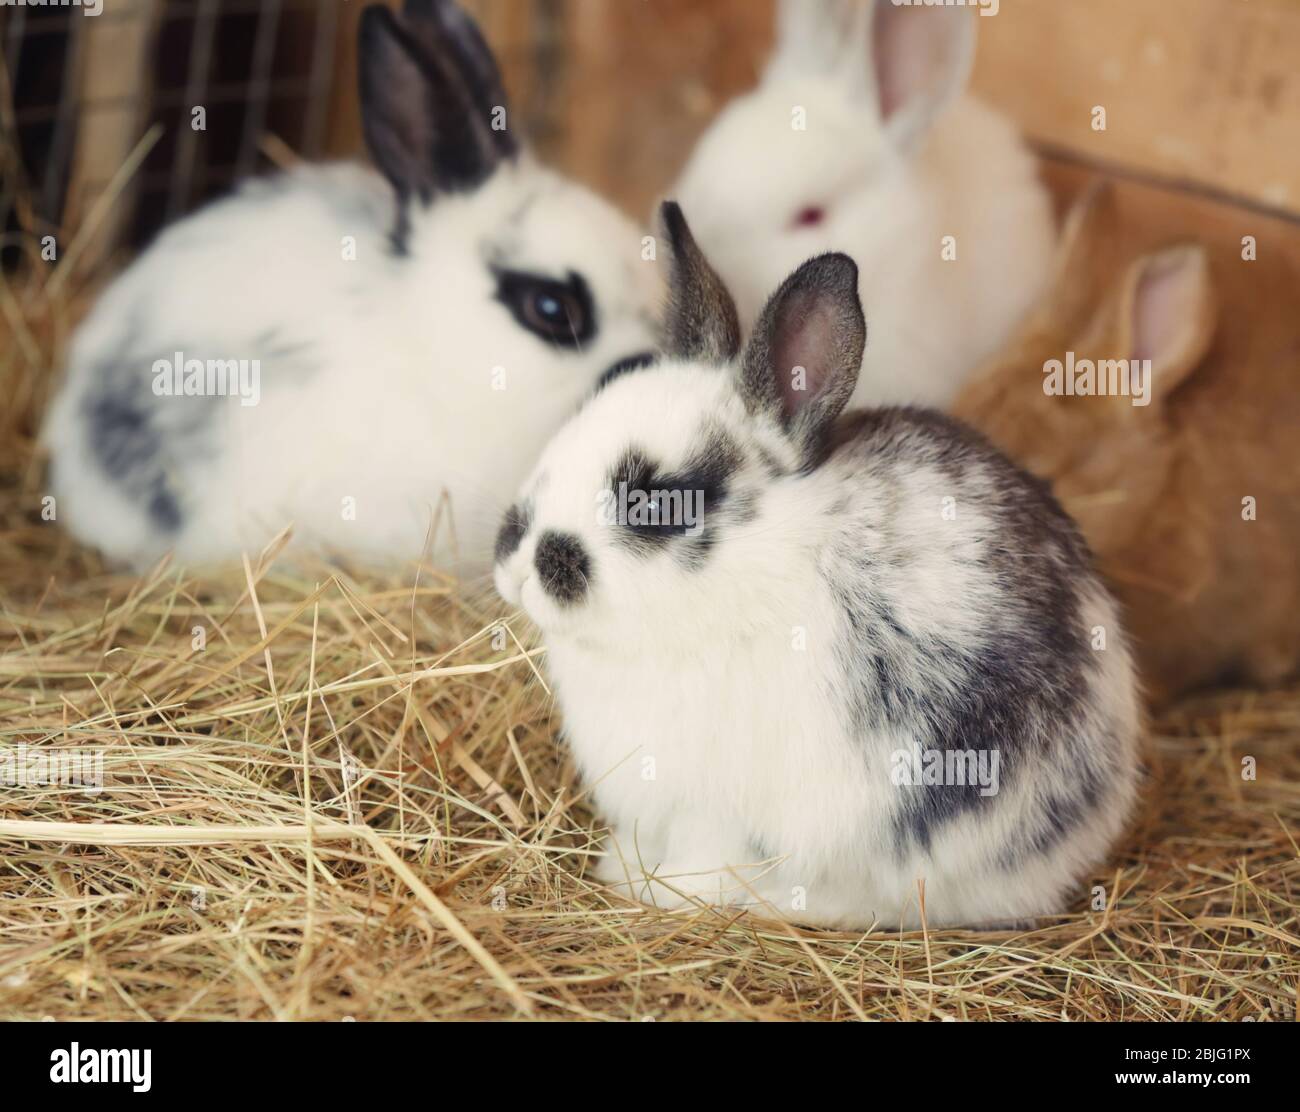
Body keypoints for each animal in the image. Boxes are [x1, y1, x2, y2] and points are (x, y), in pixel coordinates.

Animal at [492, 202, 1141, 931]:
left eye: (655, 501)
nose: (518, 561)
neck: (743, 574)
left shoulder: (718, 814)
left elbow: (703, 861)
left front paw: (655, 891)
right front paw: (620, 865)